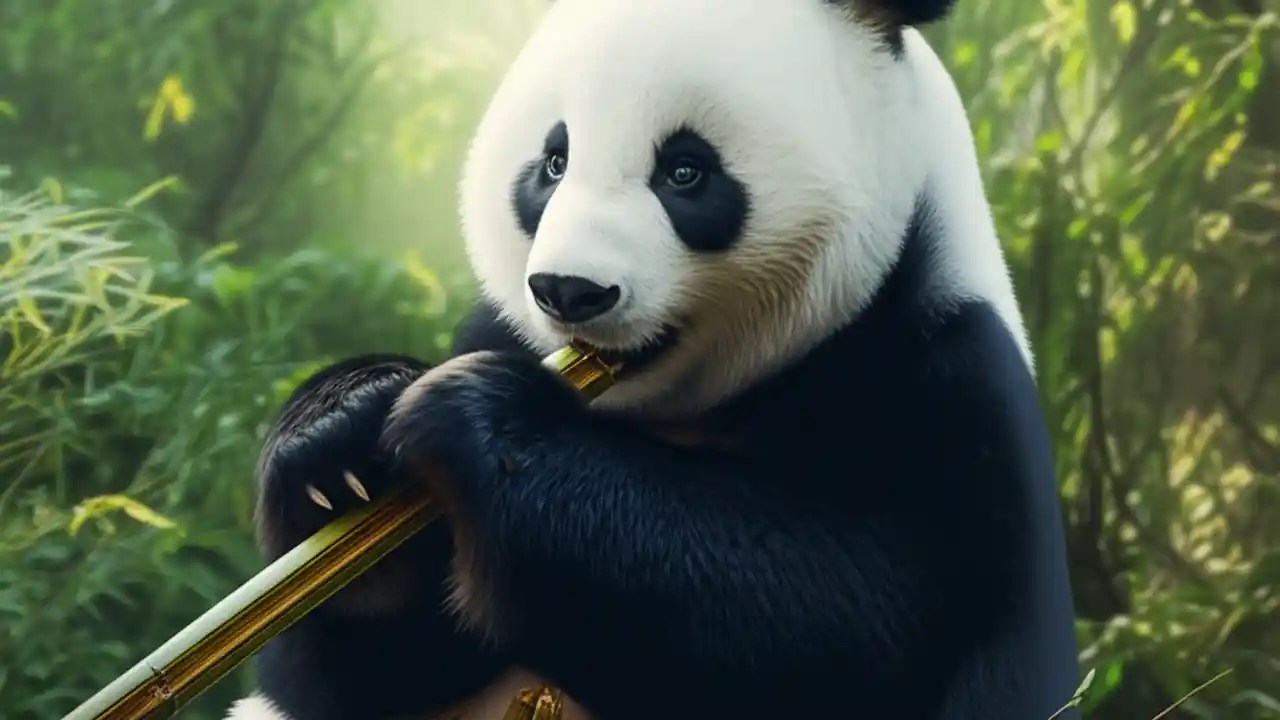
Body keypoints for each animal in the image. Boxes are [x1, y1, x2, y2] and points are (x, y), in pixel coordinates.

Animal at [226, 0, 1081, 718]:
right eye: (553, 164)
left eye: (685, 170)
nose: (569, 291)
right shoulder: (497, 328)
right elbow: (351, 679)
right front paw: (339, 445)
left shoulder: (951, 400)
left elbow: (846, 616)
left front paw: (480, 424)